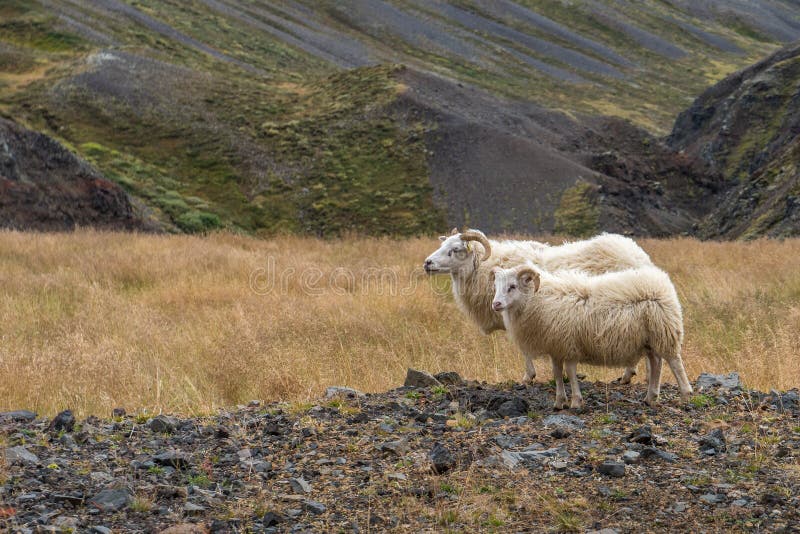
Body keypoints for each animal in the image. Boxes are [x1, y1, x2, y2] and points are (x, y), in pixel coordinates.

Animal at [423, 229, 651, 383]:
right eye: (442, 245)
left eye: (455, 249)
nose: (427, 263)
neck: (483, 268)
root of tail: (639, 255)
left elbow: (523, 348)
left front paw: (528, 376)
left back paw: (632, 375)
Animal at [491, 263, 693, 409]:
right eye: (496, 286)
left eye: (512, 286)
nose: (496, 304)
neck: (537, 300)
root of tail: (662, 281)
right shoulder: (556, 347)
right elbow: (557, 373)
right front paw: (559, 402)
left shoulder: (569, 345)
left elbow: (569, 371)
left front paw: (575, 402)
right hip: (649, 341)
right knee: (656, 363)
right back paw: (650, 397)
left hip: (665, 333)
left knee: (674, 362)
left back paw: (685, 396)